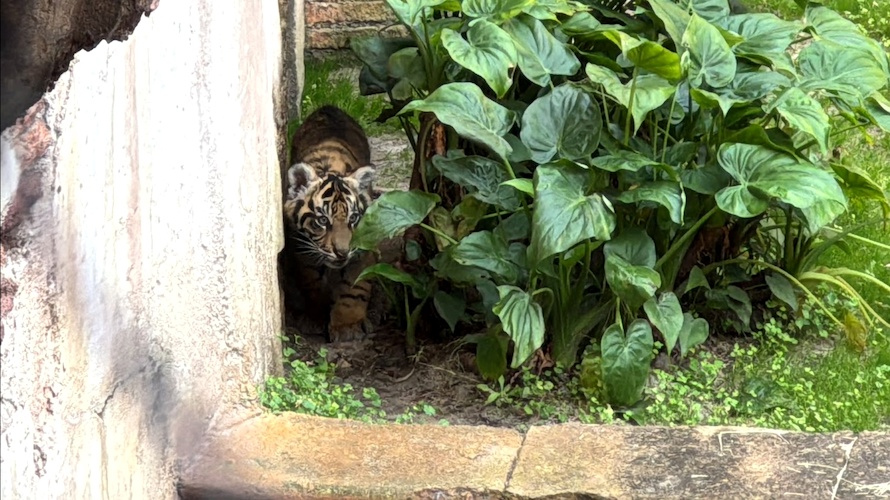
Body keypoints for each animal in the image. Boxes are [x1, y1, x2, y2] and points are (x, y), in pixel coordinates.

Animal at [281, 105, 377, 342]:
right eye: (323, 220)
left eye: (353, 218)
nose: (343, 252)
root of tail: (328, 107)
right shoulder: (302, 249)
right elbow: (312, 284)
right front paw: (315, 318)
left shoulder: (365, 246)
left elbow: (354, 288)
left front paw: (347, 327)